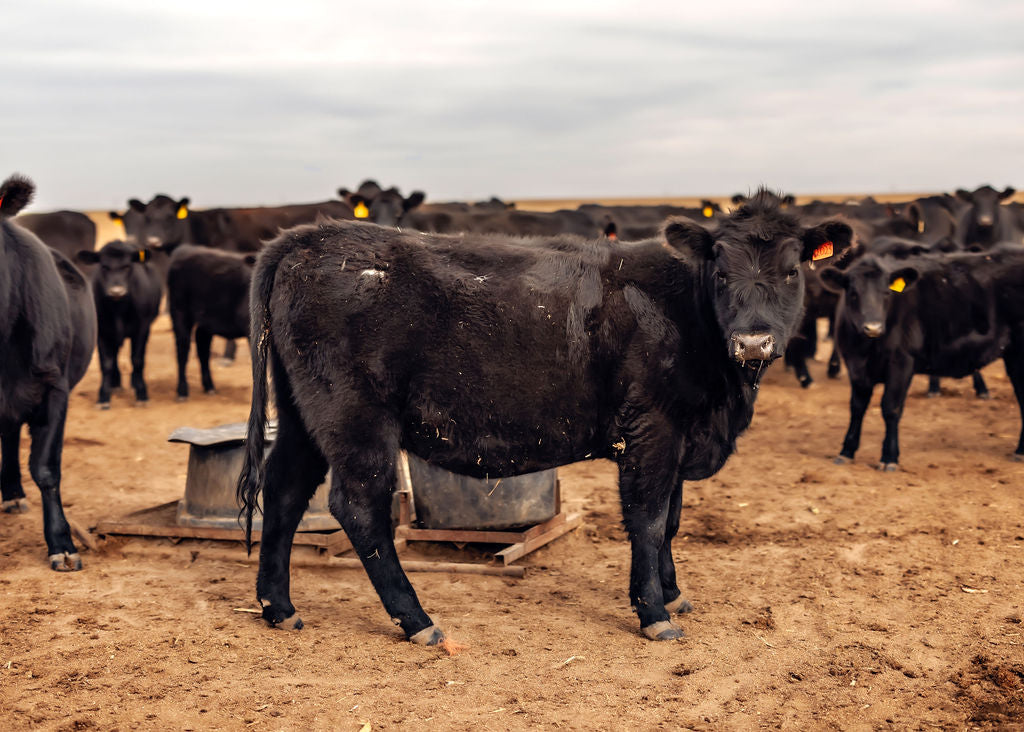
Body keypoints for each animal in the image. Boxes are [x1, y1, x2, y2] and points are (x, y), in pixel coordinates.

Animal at [75, 241, 163, 408]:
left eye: (127, 266)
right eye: (104, 267)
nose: (116, 291)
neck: (118, 310)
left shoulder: (141, 328)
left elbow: (137, 359)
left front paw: (142, 394)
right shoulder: (102, 332)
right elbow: (106, 363)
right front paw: (103, 396)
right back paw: (115, 385)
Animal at [166, 244, 255, 399]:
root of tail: (184, 249)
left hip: (205, 322)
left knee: (203, 349)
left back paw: (209, 387)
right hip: (179, 312)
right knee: (183, 349)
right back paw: (182, 391)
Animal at [235, 189, 853, 644]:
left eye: (792, 271)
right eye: (721, 273)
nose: (753, 342)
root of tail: (309, 237)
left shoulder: (681, 434)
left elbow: (672, 519)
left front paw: (674, 594)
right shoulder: (651, 429)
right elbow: (649, 519)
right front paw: (654, 613)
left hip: (304, 413)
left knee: (285, 490)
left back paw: (278, 605)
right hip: (356, 418)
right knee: (359, 507)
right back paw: (418, 621)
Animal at [820, 244, 1024, 470]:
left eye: (886, 293)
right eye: (853, 293)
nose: (873, 327)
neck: (866, 349)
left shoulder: (901, 362)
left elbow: (891, 407)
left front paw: (889, 457)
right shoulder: (855, 366)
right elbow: (857, 407)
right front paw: (846, 451)